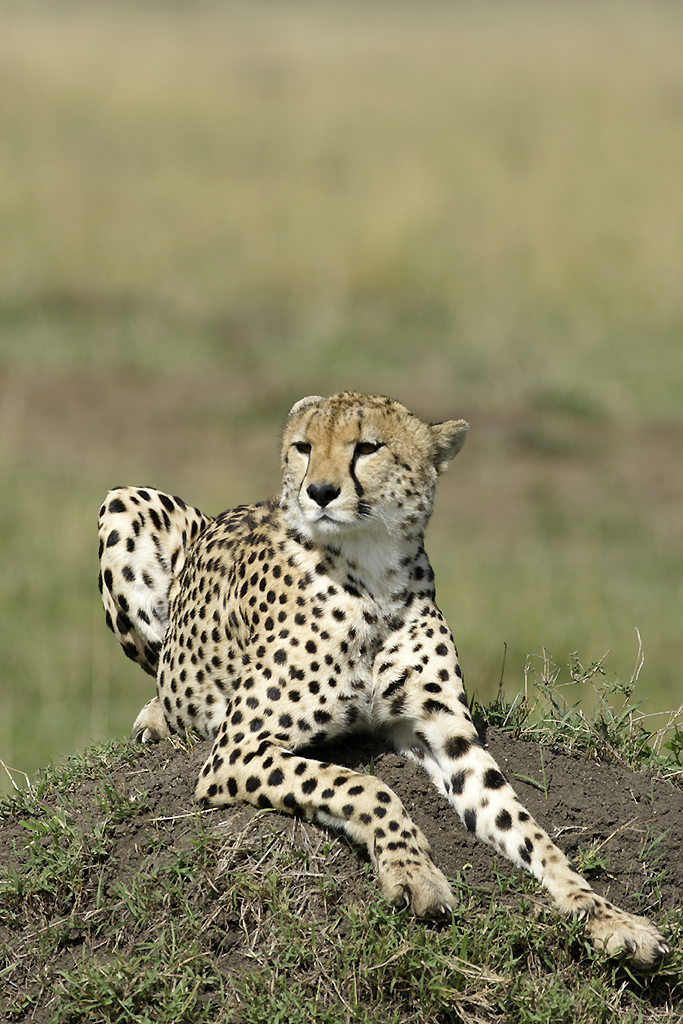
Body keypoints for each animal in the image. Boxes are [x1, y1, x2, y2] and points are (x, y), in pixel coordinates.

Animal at [98, 390, 669, 969]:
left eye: (367, 448)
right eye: (303, 447)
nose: (319, 492)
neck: (370, 571)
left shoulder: (444, 733)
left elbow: (525, 826)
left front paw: (605, 915)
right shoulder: (235, 751)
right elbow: (365, 785)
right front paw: (414, 872)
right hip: (124, 501)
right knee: (160, 670)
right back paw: (155, 718)